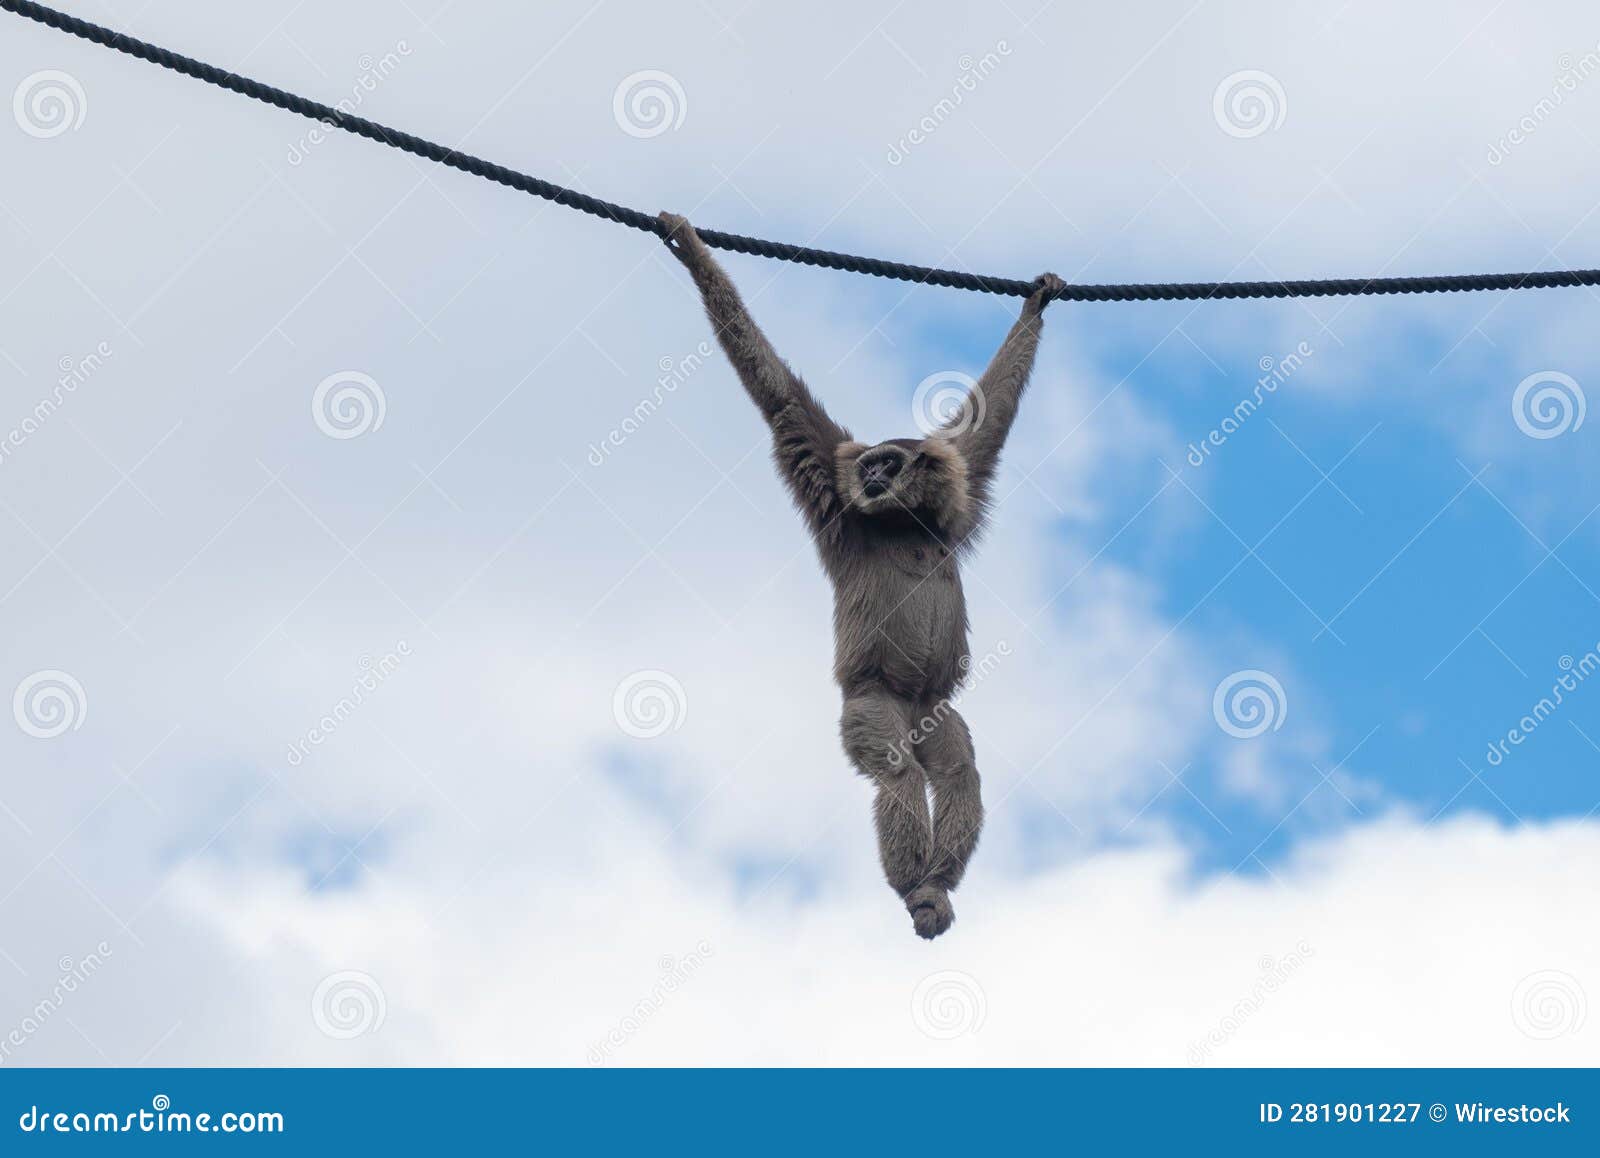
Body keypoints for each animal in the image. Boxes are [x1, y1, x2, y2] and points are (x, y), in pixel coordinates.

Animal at [659, 211, 1061, 939]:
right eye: (868, 465)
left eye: (888, 464)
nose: (871, 476)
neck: (903, 525)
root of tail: (909, 704)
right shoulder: (836, 492)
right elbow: (780, 398)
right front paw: (687, 246)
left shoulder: (955, 503)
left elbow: (984, 426)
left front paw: (1037, 303)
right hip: (872, 704)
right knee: (898, 771)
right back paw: (917, 889)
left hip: (934, 709)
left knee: (957, 772)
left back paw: (935, 883)